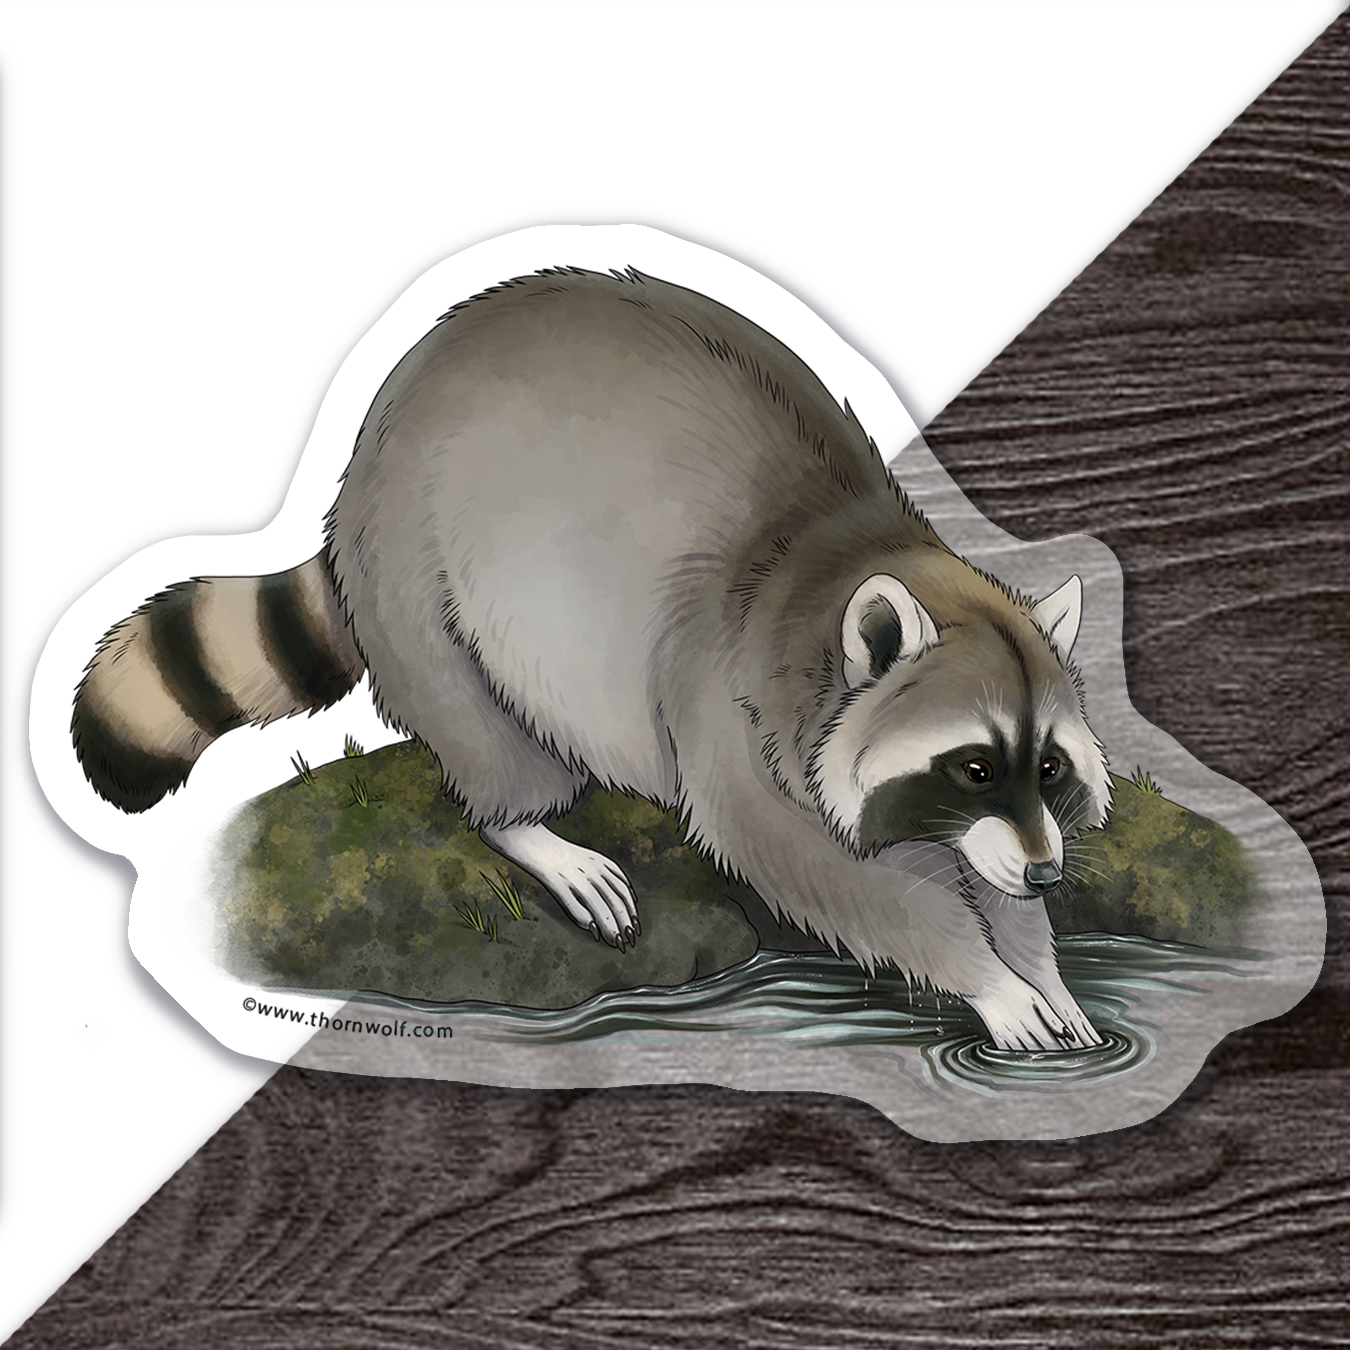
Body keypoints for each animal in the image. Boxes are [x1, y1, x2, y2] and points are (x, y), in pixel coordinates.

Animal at [73, 267, 1111, 1052]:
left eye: (1048, 767)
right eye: (974, 767)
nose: (1049, 878)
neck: (843, 553)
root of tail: (361, 465)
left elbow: (967, 861)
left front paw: (1037, 956)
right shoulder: (726, 699)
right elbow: (807, 864)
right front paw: (988, 977)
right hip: (417, 568)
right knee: (475, 719)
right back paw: (525, 823)